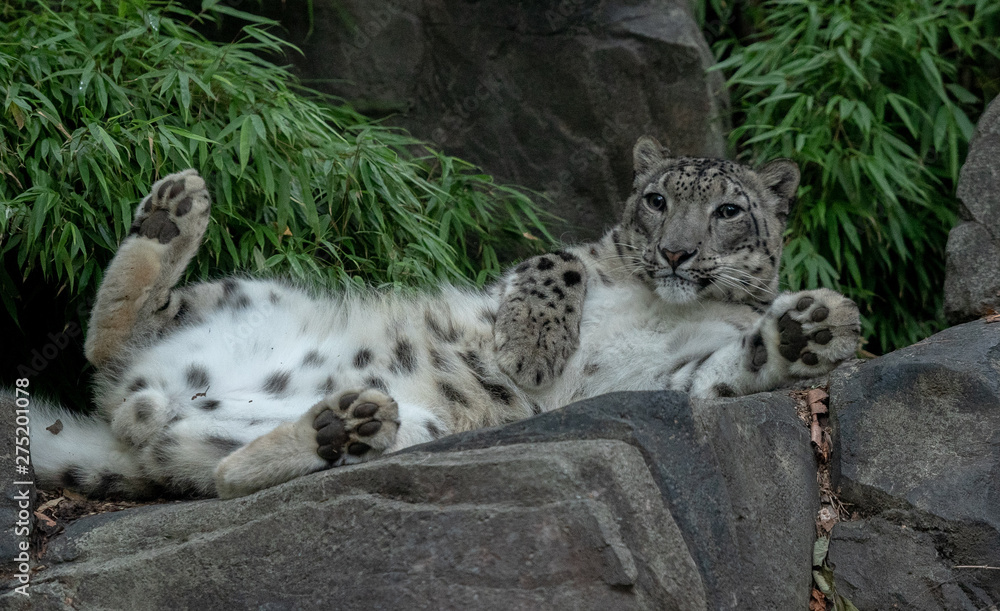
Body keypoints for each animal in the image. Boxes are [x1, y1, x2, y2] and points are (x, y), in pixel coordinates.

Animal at [29, 136, 861, 500]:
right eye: (656, 199)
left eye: (728, 210)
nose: (678, 252)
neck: (660, 303)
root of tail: (146, 402)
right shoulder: (567, 258)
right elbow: (553, 260)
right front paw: (531, 347)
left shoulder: (677, 377)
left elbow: (726, 369)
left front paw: (807, 330)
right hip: (244, 291)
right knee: (114, 337)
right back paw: (170, 213)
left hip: (401, 421)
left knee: (223, 473)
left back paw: (341, 426)